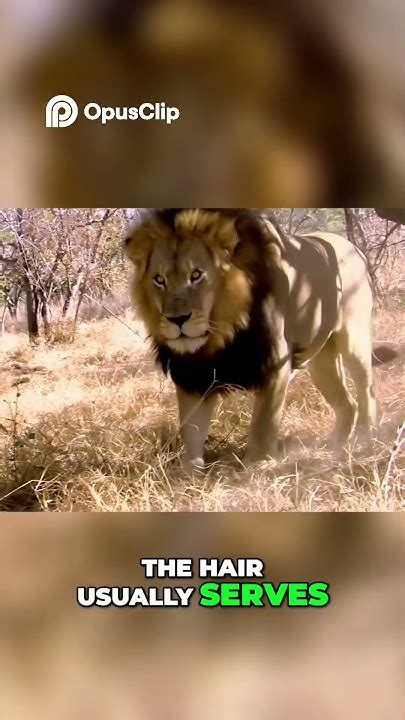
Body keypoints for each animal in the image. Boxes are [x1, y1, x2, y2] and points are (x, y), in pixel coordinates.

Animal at [125, 208, 394, 469]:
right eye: (159, 279)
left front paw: (258, 464)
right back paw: (336, 445)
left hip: (354, 340)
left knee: (366, 390)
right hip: (321, 362)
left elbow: (263, 422)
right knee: (347, 403)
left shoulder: (274, 363)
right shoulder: (193, 376)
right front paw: (187, 472)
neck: (222, 335)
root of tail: (352, 246)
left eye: (197, 274)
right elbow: (190, 429)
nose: (177, 319)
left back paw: (365, 439)